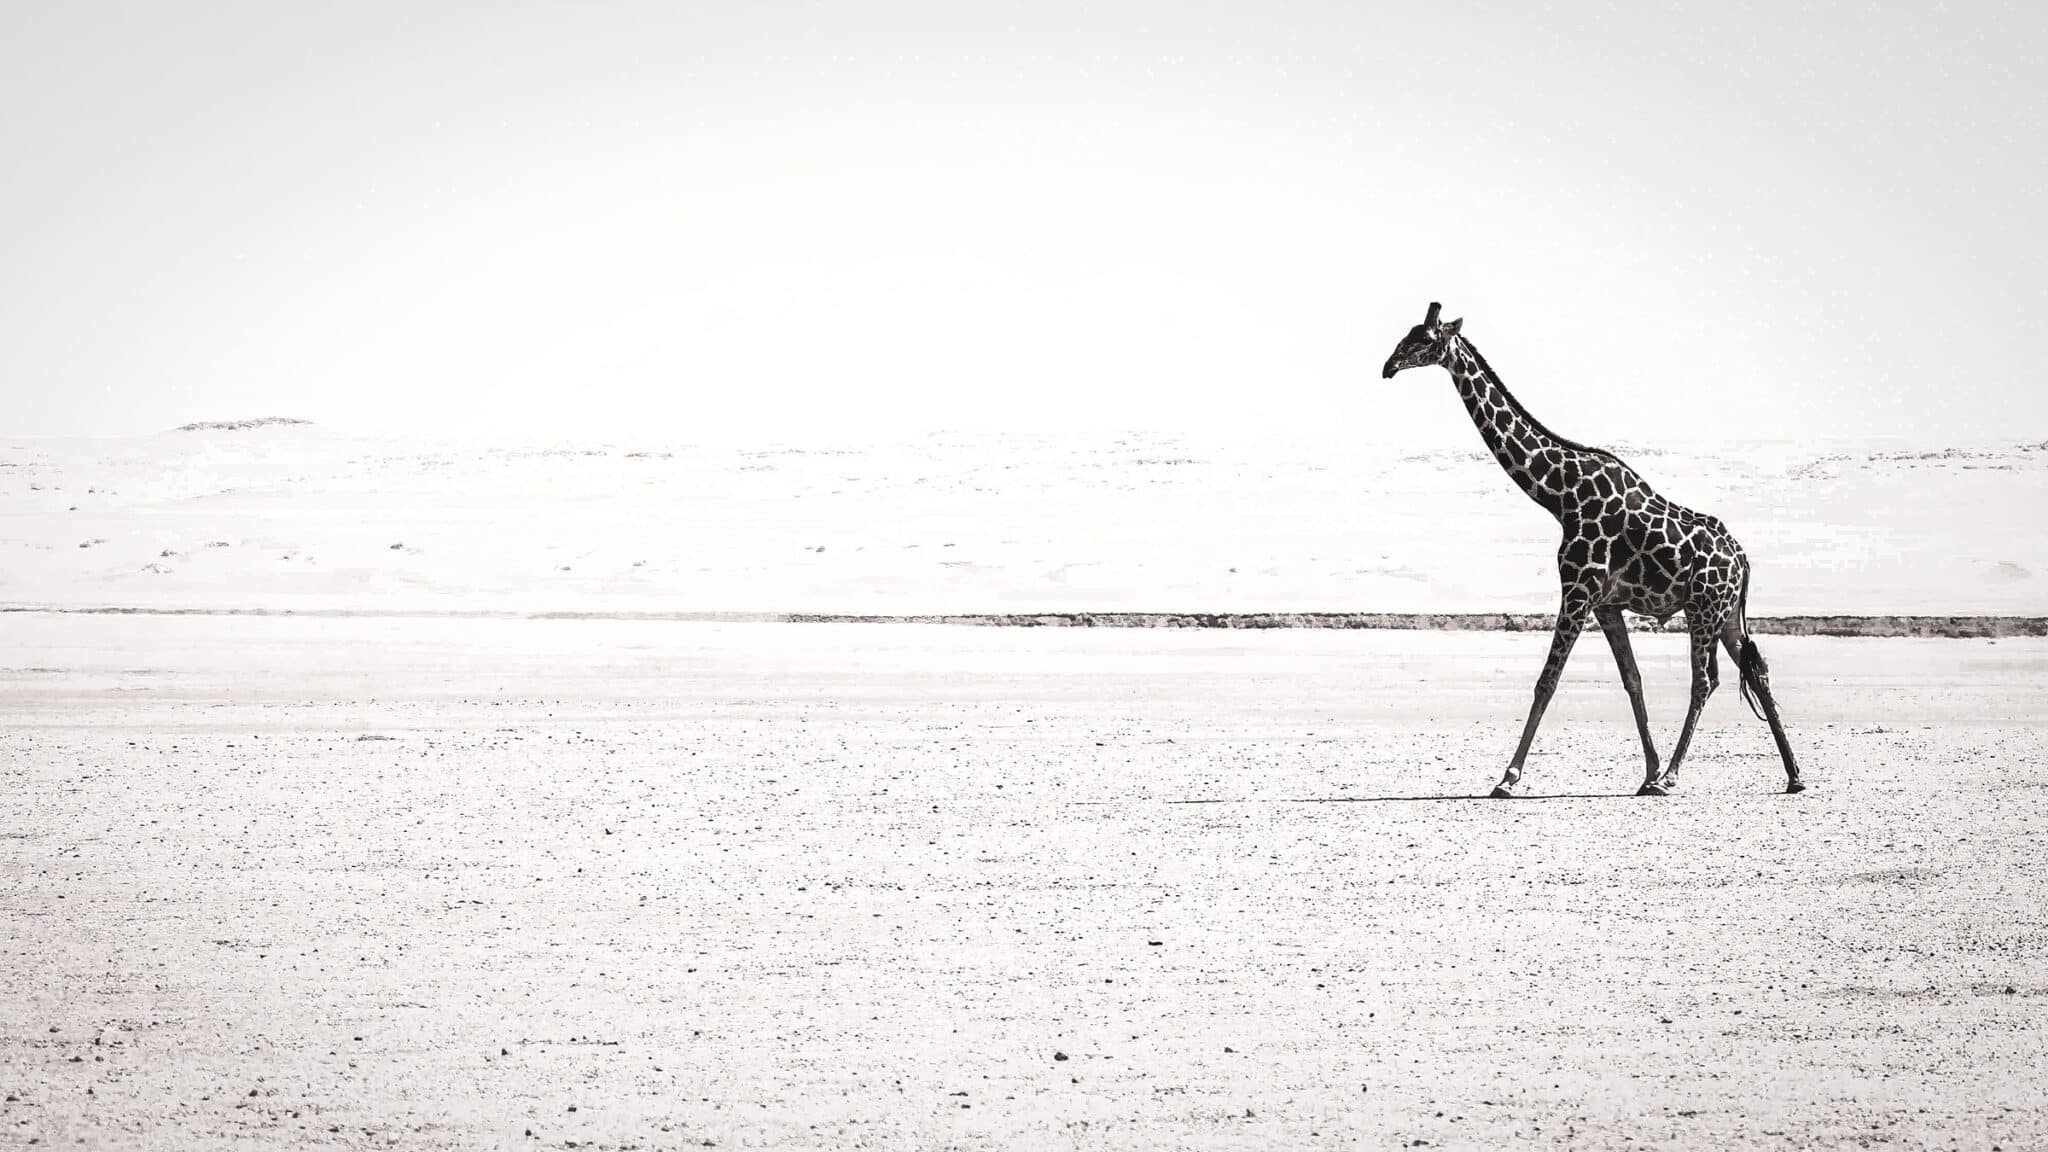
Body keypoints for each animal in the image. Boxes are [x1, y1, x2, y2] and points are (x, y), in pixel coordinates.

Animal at [1380, 302, 1804, 797]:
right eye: (1408, 332)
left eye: (1425, 338)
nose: (1388, 366)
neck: (1561, 496)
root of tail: (1743, 560)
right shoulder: (1605, 604)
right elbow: (1632, 679)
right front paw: (1647, 771)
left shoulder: (1577, 591)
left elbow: (1547, 682)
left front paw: (1508, 778)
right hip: (1727, 614)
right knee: (1757, 669)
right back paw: (1794, 776)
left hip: (1703, 608)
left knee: (1705, 681)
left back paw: (1675, 776)